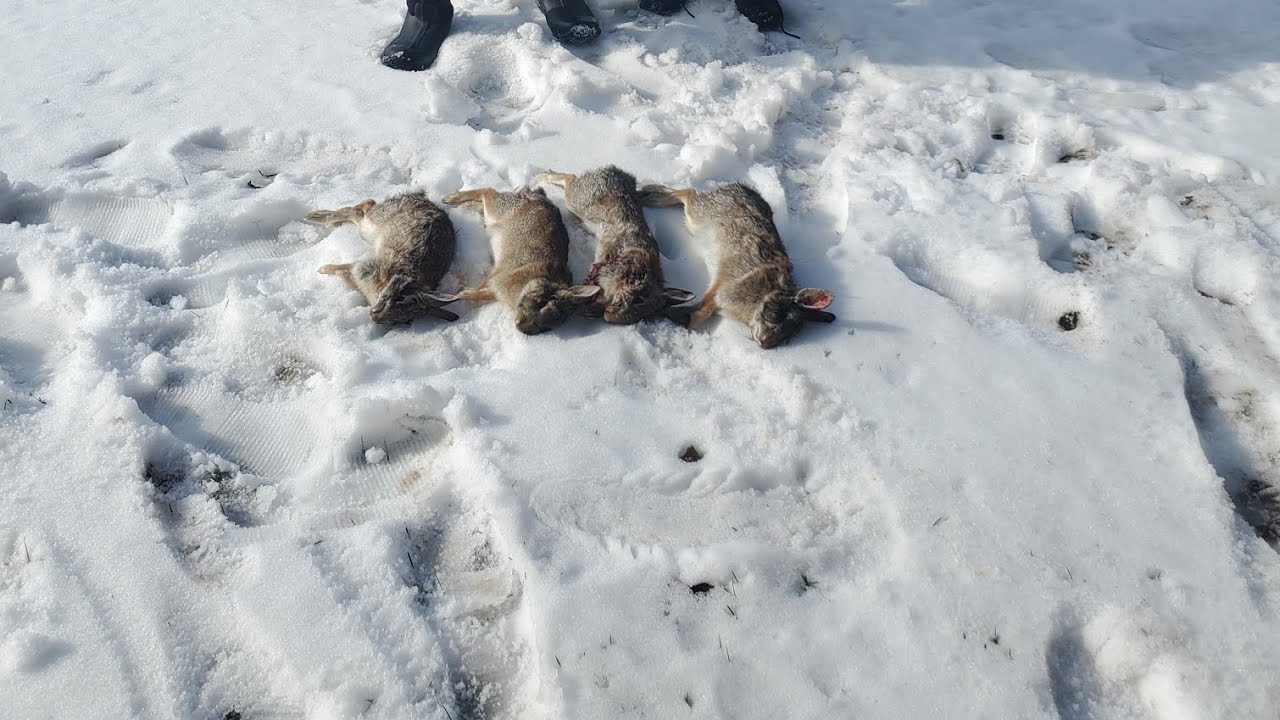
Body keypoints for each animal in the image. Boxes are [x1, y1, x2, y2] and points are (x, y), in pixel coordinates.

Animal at [305, 193, 460, 325]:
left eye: (403, 322)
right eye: (399, 298)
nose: (374, 317)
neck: (405, 277)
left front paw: (338, 274)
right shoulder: (369, 267)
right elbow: (350, 266)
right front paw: (323, 269)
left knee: (360, 211)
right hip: (372, 226)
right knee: (363, 207)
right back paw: (315, 216)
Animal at [442, 186, 601, 335]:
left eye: (546, 329)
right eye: (543, 302)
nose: (520, 326)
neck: (537, 278)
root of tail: (537, 195)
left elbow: (480, 294)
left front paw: (461, 293)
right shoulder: (498, 279)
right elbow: (478, 292)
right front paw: (459, 293)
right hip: (496, 210)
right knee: (487, 192)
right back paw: (451, 199)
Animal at [536, 166, 694, 324]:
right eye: (639, 299)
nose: (610, 314)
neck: (641, 268)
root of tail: (617, 172)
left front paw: (593, 310)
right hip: (578, 201)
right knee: (569, 178)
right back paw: (543, 175)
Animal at [637, 182, 835, 349]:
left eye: (788, 337)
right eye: (777, 314)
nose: (764, 344)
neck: (765, 294)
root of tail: (740, 187)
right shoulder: (720, 291)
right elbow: (701, 313)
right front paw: (688, 333)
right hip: (698, 215)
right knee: (689, 193)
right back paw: (649, 195)